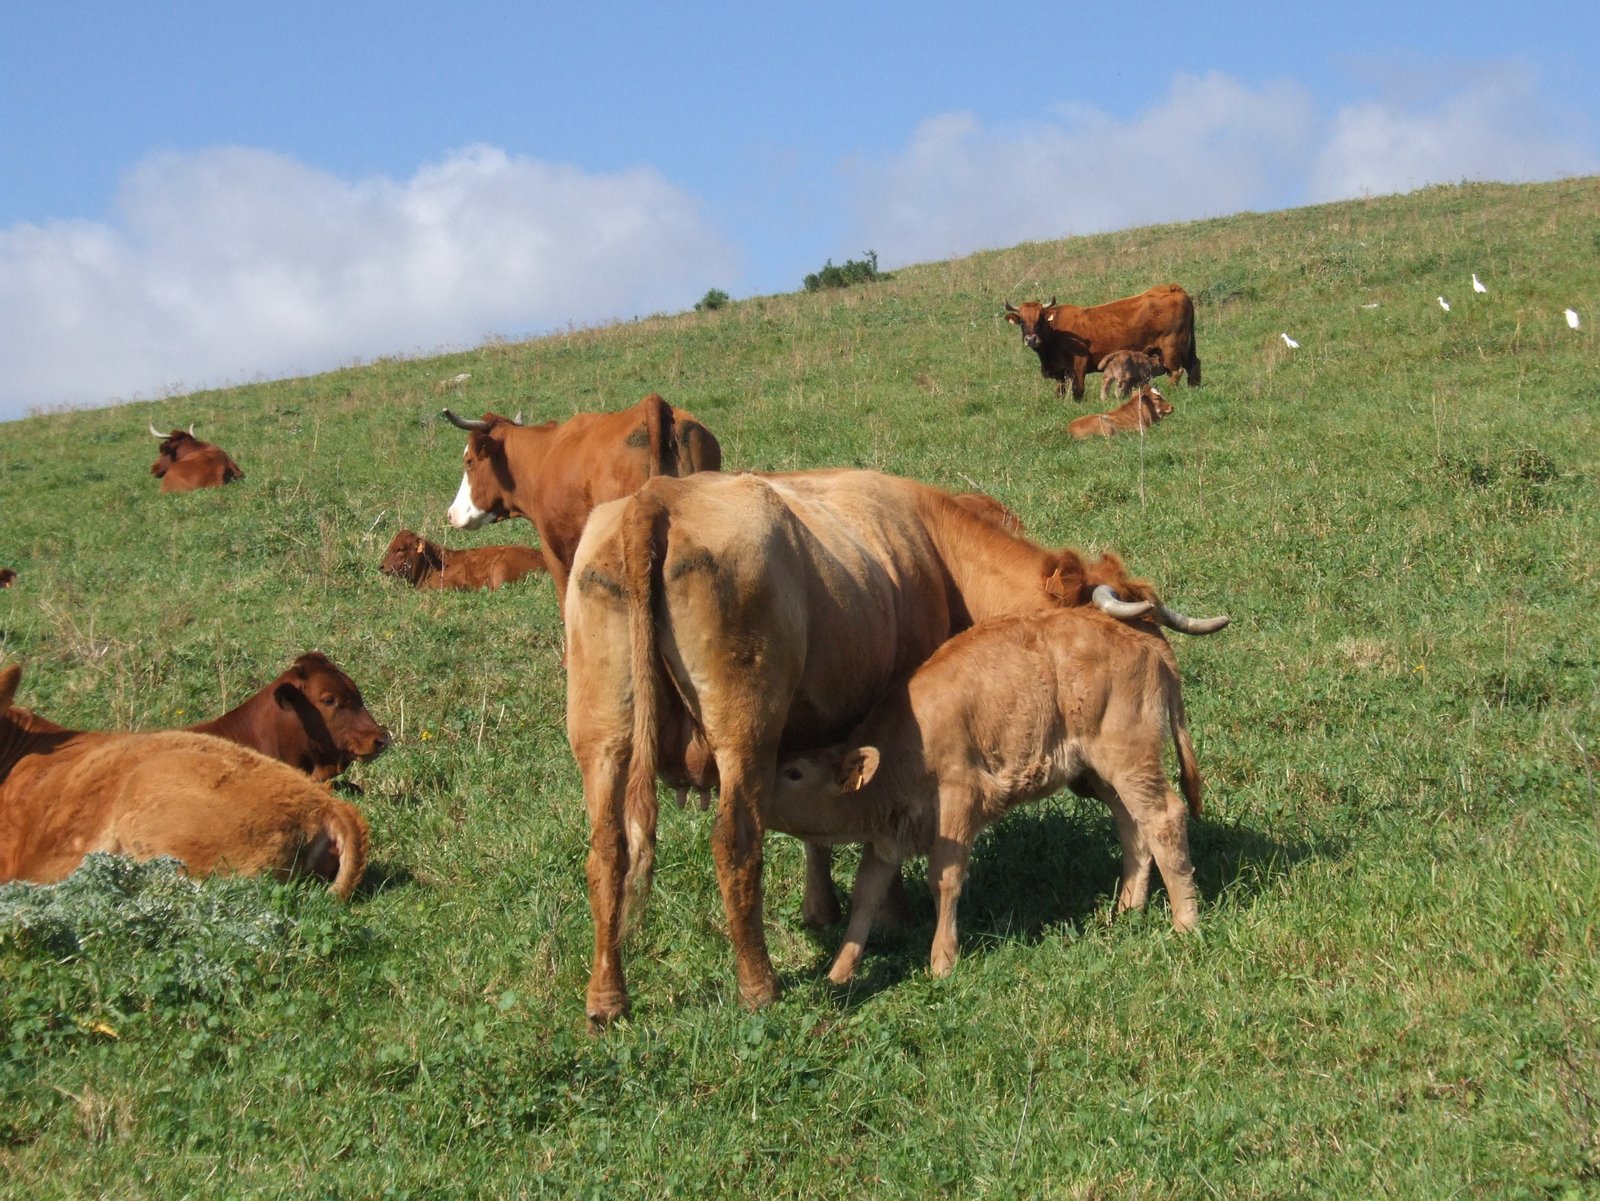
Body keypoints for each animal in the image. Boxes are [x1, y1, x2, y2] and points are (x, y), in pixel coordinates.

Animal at [764, 601, 1217, 983]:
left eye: (793, 773)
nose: (757, 790)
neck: (898, 752)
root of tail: (1144, 640)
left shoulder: (959, 798)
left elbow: (944, 878)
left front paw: (942, 961)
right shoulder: (888, 837)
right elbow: (866, 895)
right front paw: (839, 973)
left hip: (1130, 757)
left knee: (1164, 817)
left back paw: (1185, 923)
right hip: (1105, 770)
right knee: (1132, 825)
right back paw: (1127, 908)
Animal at [1003, 284, 1201, 401]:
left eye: (1040, 319)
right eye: (1022, 321)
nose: (1031, 339)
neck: (1055, 333)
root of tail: (1172, 288)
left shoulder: (1079, 365)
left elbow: (1078, 390)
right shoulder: (1059, 373)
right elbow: (1060, 392)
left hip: (1172, 346)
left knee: (1176, 371)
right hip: (1185, 346)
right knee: (1194, 365)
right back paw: (1194, 388)